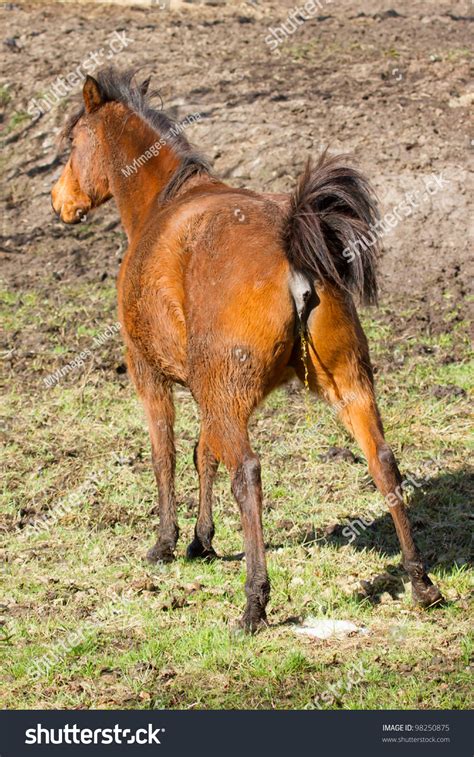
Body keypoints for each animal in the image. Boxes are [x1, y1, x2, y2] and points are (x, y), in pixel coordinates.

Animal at [51, 68, 443, 632]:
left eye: (73, 141)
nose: (59, 200)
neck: (163, 203)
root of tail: (292, 248)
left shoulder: (149, 373)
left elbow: (167, 454)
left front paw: (168, 542)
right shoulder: (206, 393)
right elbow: (203, 454)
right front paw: (201, 540)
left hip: (231, 394)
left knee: (249, 475)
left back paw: (255, 602)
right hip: (343, 383)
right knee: (383, 463)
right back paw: (420, 582)